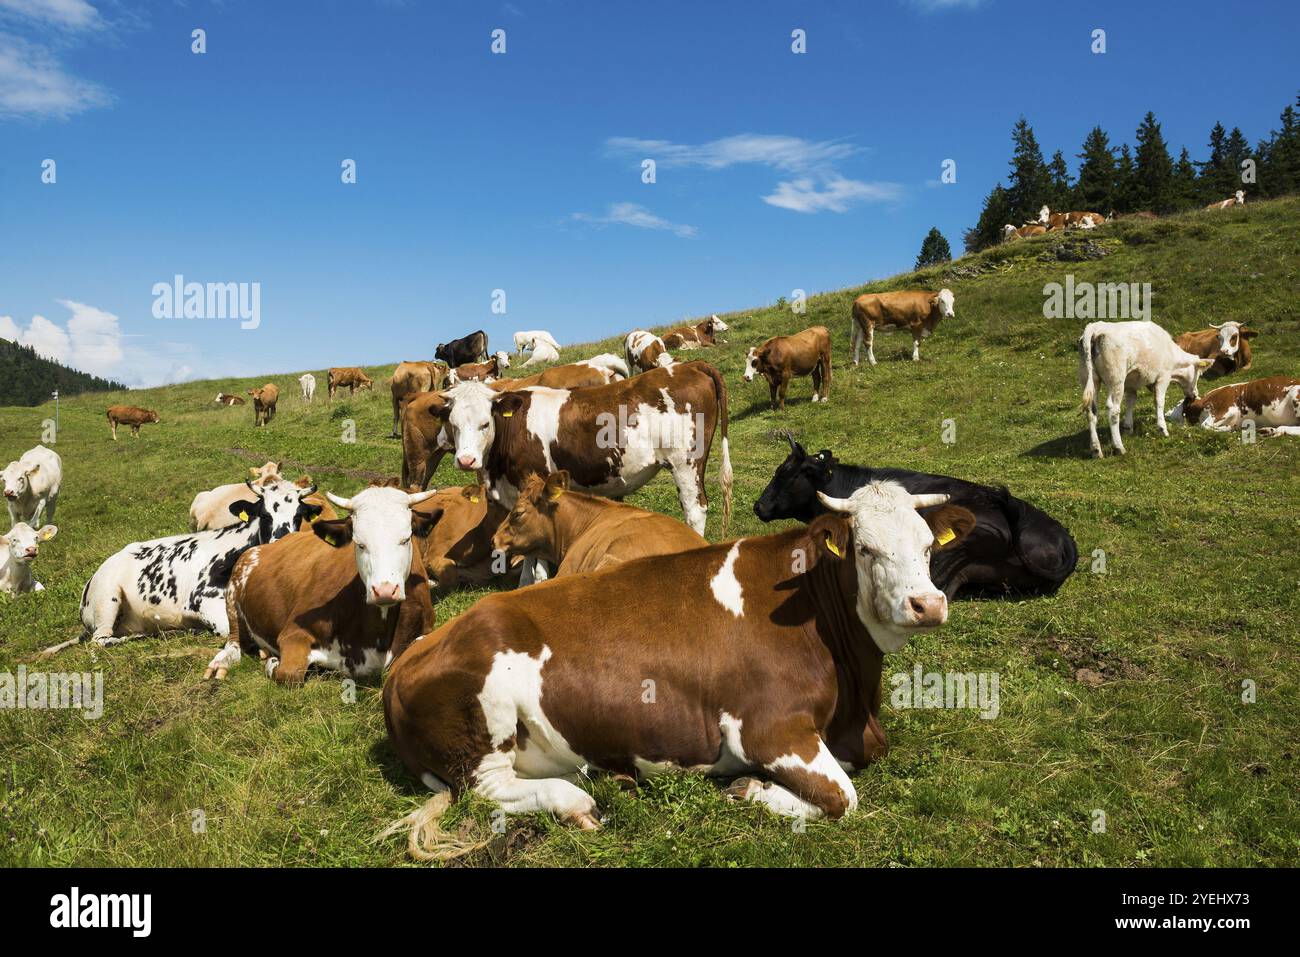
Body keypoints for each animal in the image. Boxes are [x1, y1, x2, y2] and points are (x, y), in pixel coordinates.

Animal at [202, 484, 441, 685]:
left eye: (406, 539)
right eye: (359, 543)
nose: (384, 591)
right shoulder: (293, 632)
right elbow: (289, 673)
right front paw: (272, 662)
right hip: (233, 595)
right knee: (234, 643)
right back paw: (222, 662)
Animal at [429, 360, 733, 535]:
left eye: (485, 424)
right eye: (453, 424)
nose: (466, 460)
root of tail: (689, 366)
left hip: (686, 463)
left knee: (695, 509)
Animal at [1078, 320, 1213, 457]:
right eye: (1199, 374)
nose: (1195, 394)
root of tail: (1095, 327)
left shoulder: (1130, 384)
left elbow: (1131, 402)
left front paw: (1128, 428)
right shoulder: (1163, 377)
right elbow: (1159, 401)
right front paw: (1162, 429)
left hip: (1090, 379)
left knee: (1091, 411)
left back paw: (1096, 450)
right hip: (1116, 380)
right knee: (1113, 410)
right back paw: (1119, 447)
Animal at [1167, 376, 1300, 437]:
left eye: (1177, 403)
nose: (1167, 411)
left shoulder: (1225, 409)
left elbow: (1204, 426)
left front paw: (1228, 428)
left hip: (1296, 396)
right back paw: (1270, 430)